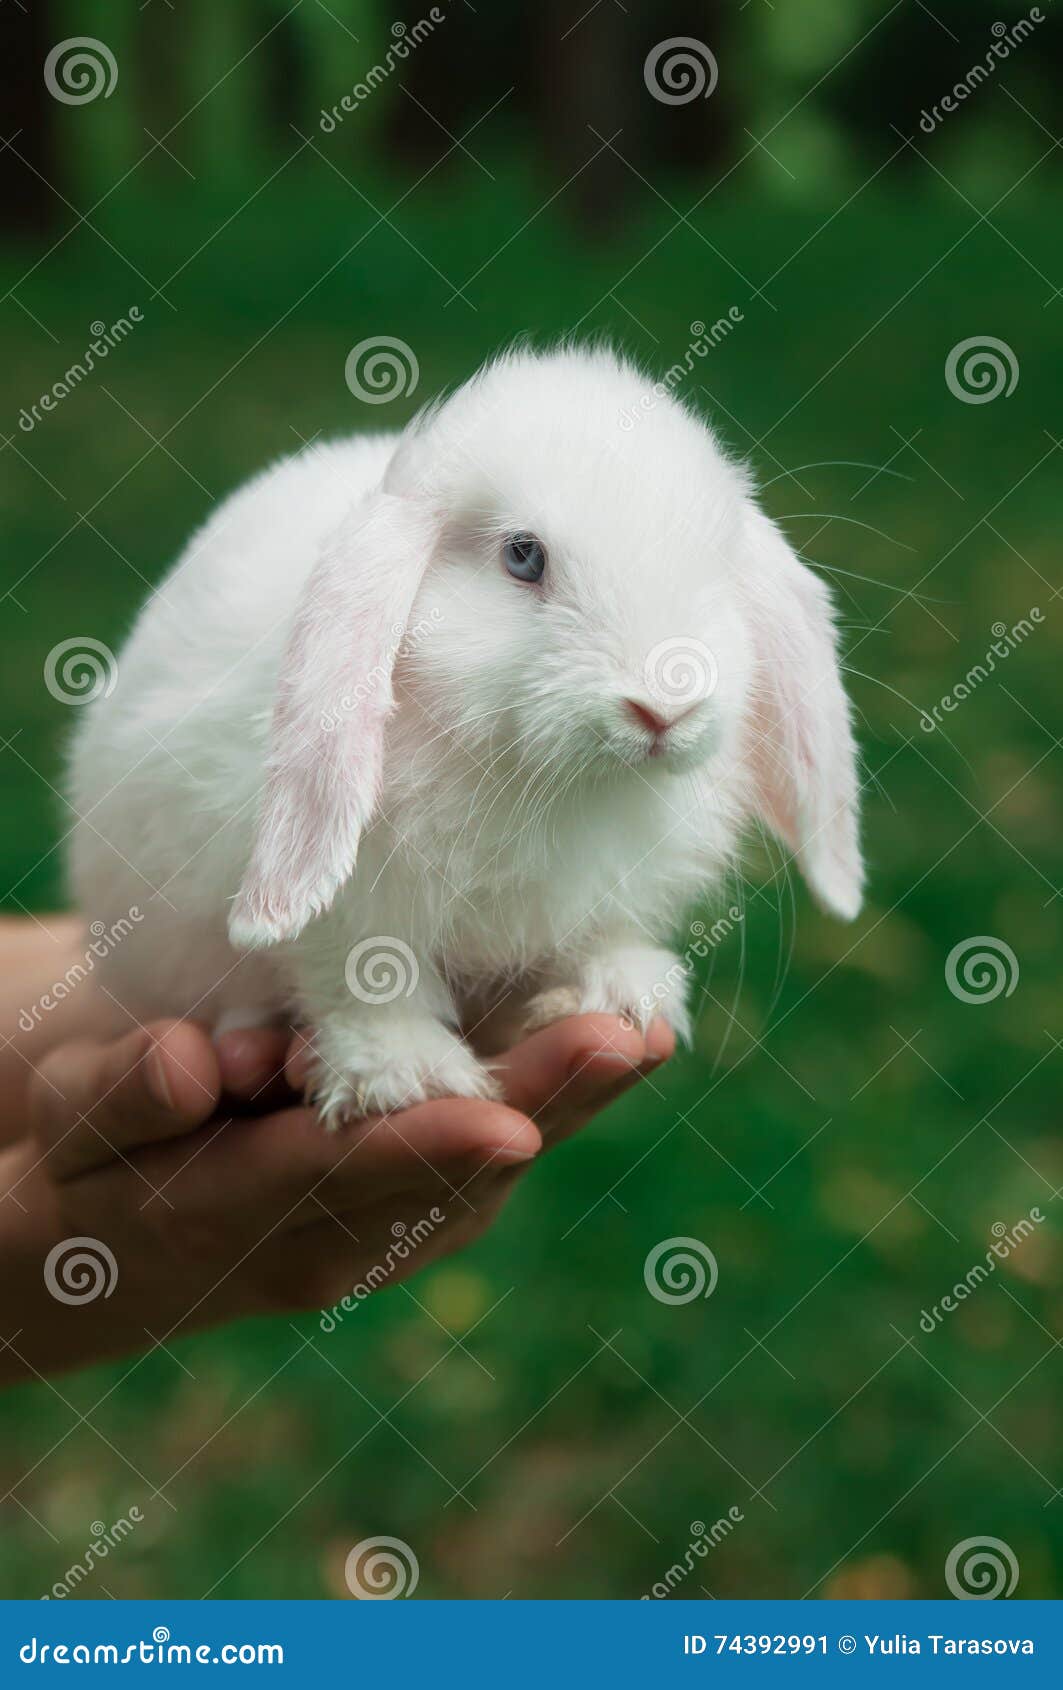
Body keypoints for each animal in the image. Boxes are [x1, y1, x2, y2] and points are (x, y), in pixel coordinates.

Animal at [68, 344, 863, 1126]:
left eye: (716, 563)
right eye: (522, 556)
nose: (665, 710)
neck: (544, 780)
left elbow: (599, 933)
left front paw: (620, 992)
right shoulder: (349, 911)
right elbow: (362, 979)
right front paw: (403, 1075)